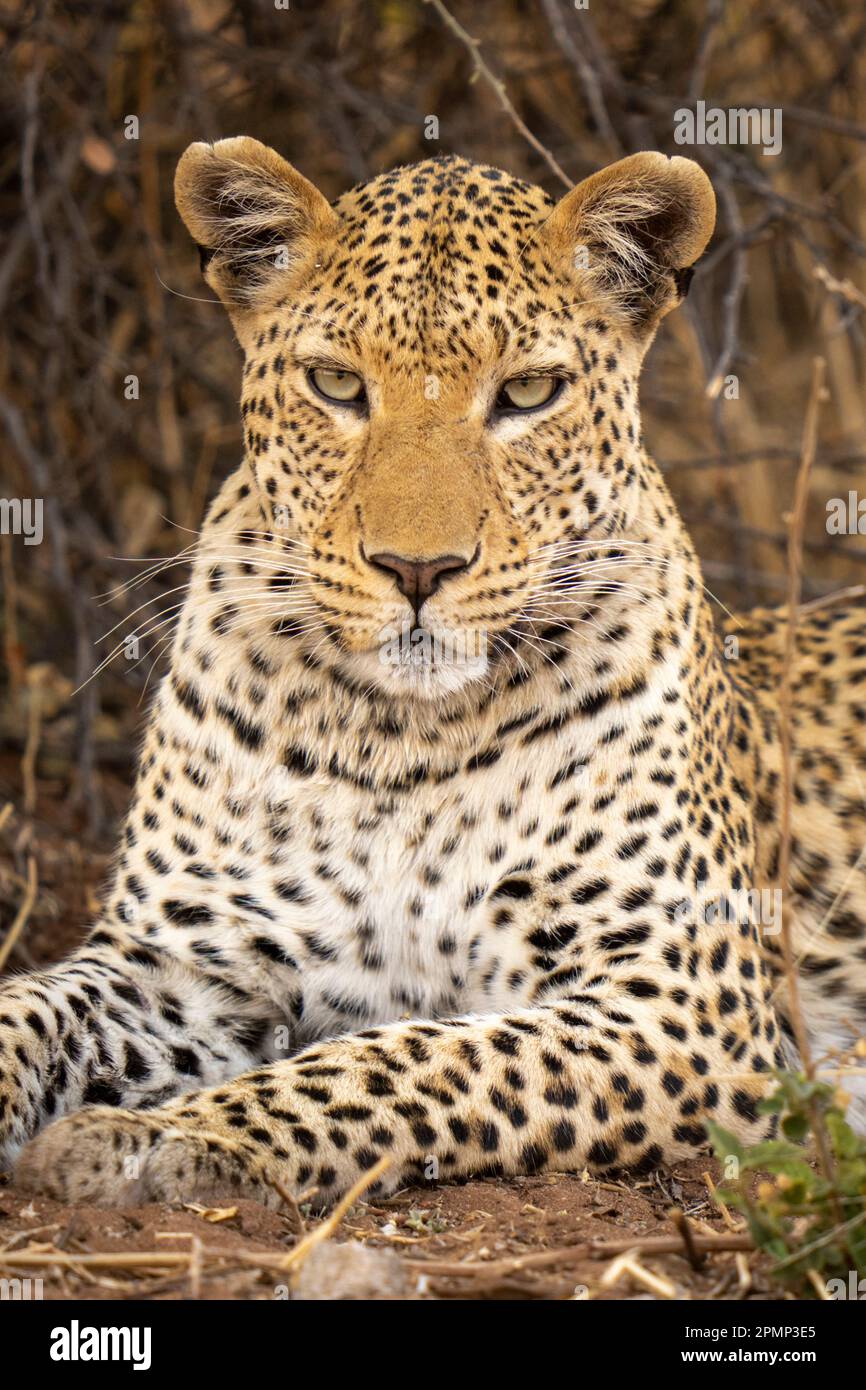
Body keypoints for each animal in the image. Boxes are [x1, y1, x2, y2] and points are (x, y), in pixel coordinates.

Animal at [3, 138, 866, 1210]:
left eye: (528, 394)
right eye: (335, 383)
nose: (417, 569)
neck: (398, 739)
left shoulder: (682, 1000)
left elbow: (396, 1059)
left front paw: (158, 1136)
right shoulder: (185, 962)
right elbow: (25, 1006)